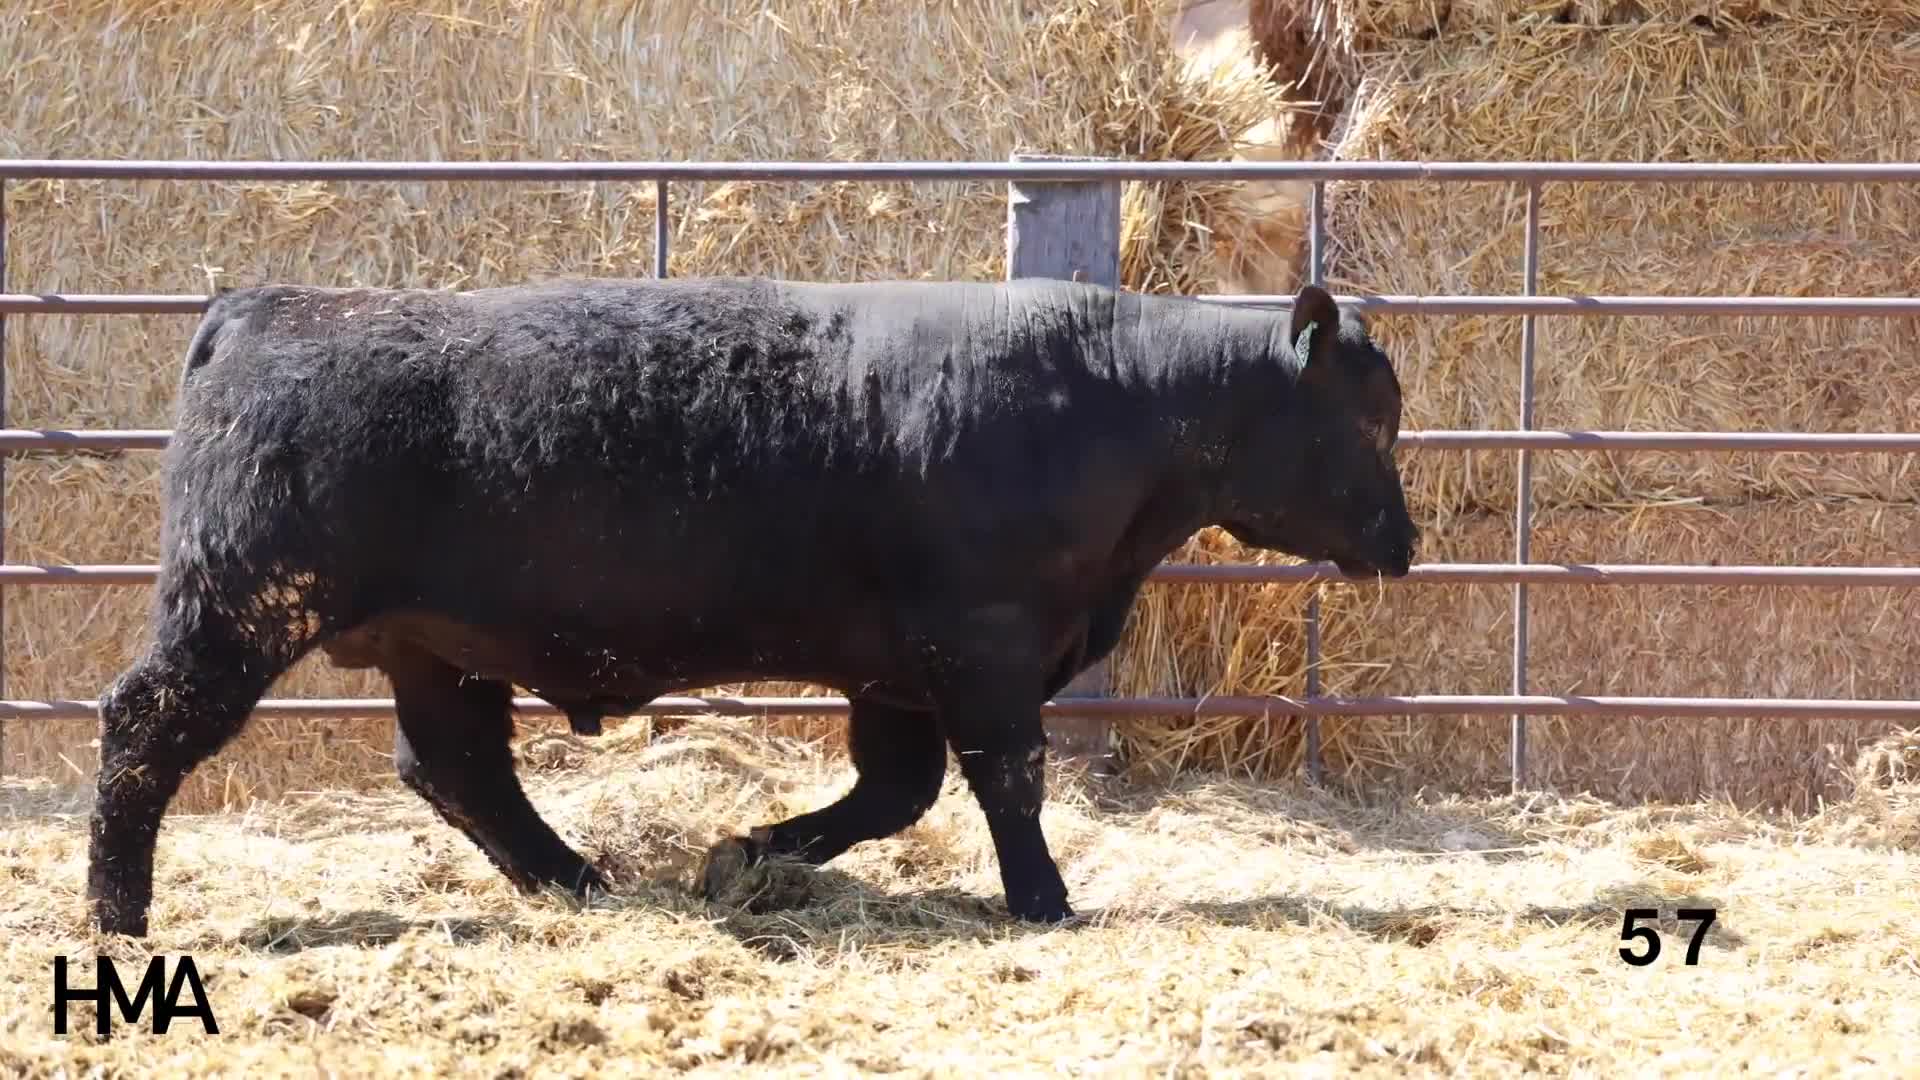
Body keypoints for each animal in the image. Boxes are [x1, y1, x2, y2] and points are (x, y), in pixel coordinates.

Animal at [85, 275, 1418, 937]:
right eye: (1367, 419)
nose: (1404, 544)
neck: (1112, 397)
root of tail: (266, 306)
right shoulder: (982, 644)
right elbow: (1009, 779)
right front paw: (1045, 902)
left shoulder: (896, 672)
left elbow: (895, 792)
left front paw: (744, 855)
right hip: (238, 607)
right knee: (143, 731)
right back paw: (115, 915)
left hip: (432, 642)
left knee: (457, 766)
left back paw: (577, 881)